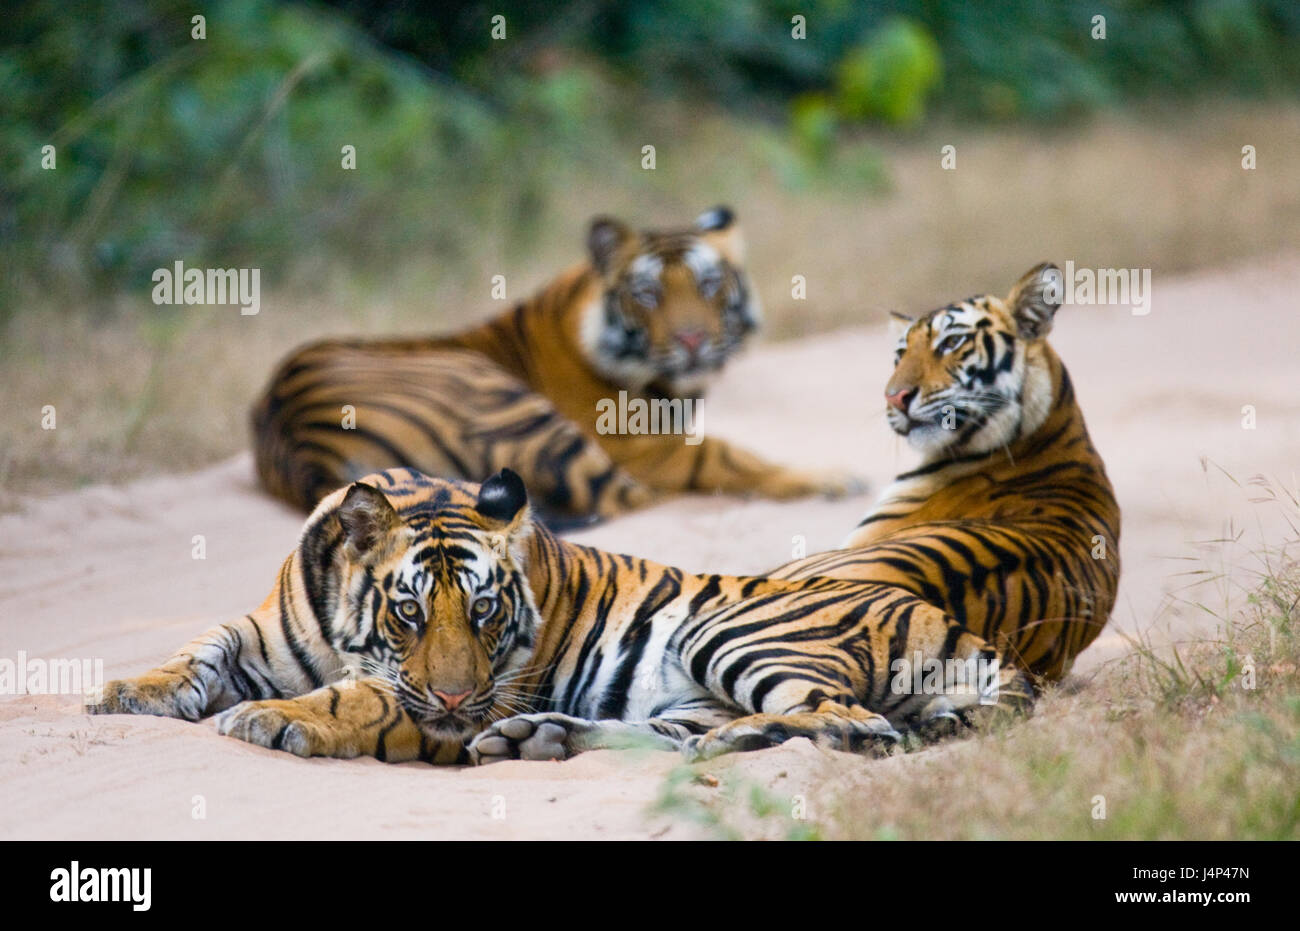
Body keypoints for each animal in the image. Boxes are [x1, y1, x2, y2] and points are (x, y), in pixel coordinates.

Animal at [89, 467, 1031, 763]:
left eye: (485, 611)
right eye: (408, 611)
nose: (463, 704)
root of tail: (951, 621)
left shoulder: (429, 699)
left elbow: (353, 698)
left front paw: (272, 718)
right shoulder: (263, 631)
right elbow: (200, 648)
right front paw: (128, 691)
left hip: (731, 636)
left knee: (856, 722)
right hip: (695, 692)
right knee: (693, 734)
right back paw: (539, 738)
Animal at [251, 207, 859, 527]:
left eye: (709, 284)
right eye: (648, 293)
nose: (692, 339)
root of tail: (297, 437)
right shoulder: (637, 443)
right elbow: (729, 455)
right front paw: (834, 477)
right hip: (506, 400)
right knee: (634, 499)